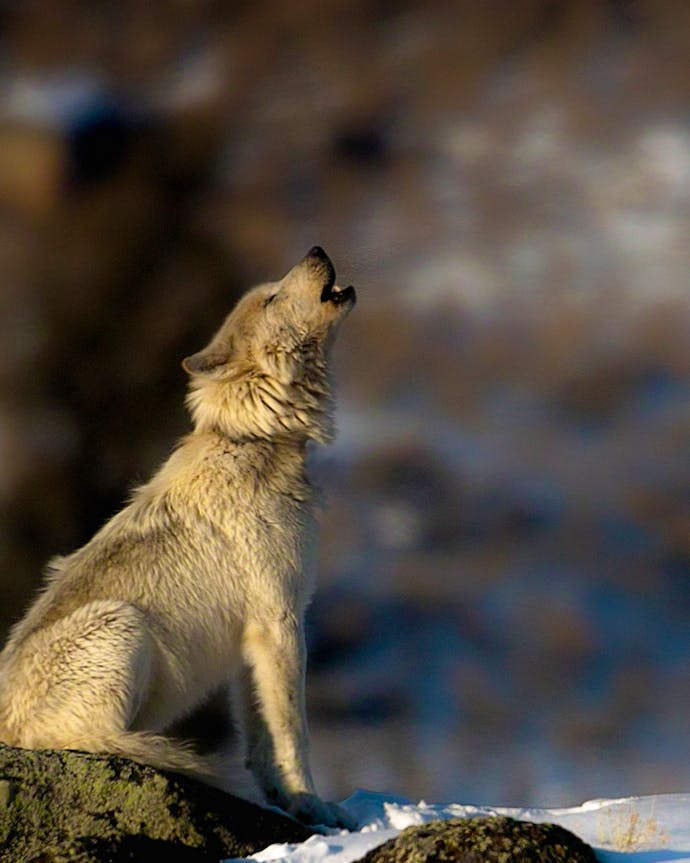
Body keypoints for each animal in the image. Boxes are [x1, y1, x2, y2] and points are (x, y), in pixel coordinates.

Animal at [0, 246, 356, 829]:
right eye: (272, 297)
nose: (317, 250)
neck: (254, 440)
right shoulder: (281, 619)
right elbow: (293, 731)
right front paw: (314, 806)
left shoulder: (253, 639)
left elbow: (261, 738)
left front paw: (285, 801)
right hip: (122, 622)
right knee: (88, 740)